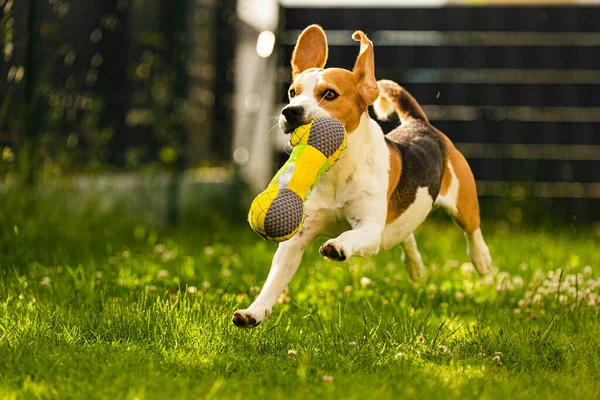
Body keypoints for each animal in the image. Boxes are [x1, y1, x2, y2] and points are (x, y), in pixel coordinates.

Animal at [232, 25, 490, 328]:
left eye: (329, 94)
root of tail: (418, 123)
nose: (290, 111)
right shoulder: (297, 239)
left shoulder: (367, 228)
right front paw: (254, 312)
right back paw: (414, 266)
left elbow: (349, 235)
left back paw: (482, 260)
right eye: (292, 93)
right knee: (405, 234)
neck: (336, 168)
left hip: (463, 202)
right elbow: (274, 281)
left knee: (472, 230)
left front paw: (337, 246)